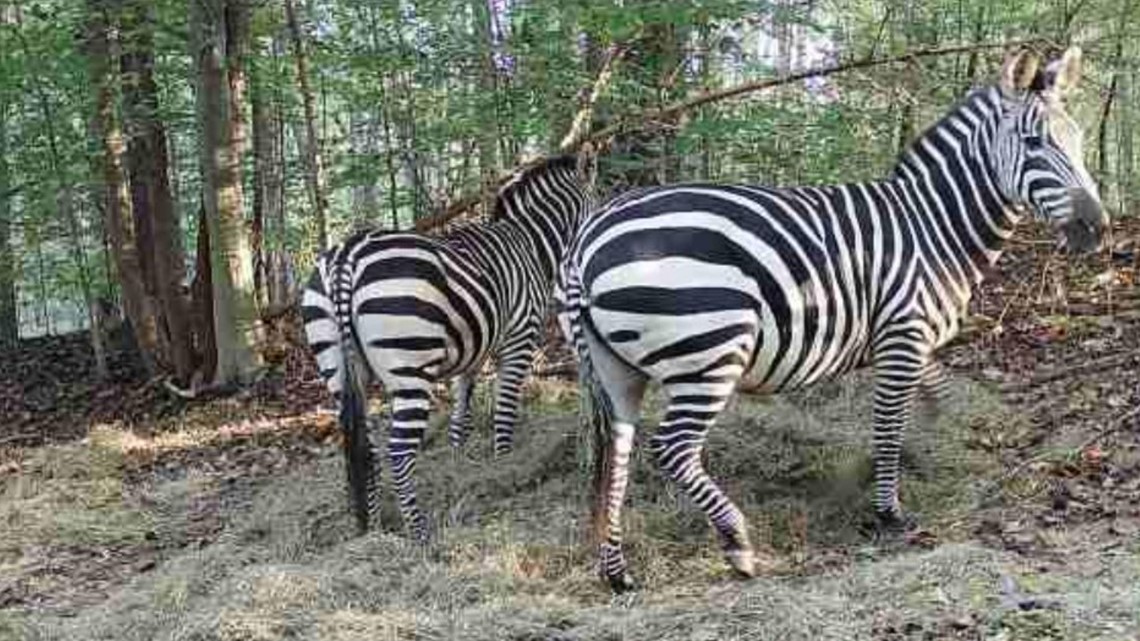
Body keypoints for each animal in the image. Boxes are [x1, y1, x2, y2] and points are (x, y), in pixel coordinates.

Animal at [302, 155, 589, 538]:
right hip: (409, 368)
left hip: (336, 365)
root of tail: (346, 257)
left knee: (366, 448)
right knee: (397, 452)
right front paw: (505, 467)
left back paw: (373, 529)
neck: (529, 243)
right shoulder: (519, 341)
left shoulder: (472, 350)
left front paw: (458, 463)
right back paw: (419, 533)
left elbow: (460, 412)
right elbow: (504, 411)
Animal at [559, 48, 1106, 591]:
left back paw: (616, 570)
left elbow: (935, 396)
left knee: (619, 451)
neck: (932, 226)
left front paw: (928, 447)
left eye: (1079, 139)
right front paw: (888, 511)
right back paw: (737, 544)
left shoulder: (906, 338)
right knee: (671, 449)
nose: (1096, 227)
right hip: (710, 351)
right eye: (1034, 142)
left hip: (618, 368)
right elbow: (889, 424)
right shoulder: (903, 335)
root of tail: (588, 238)